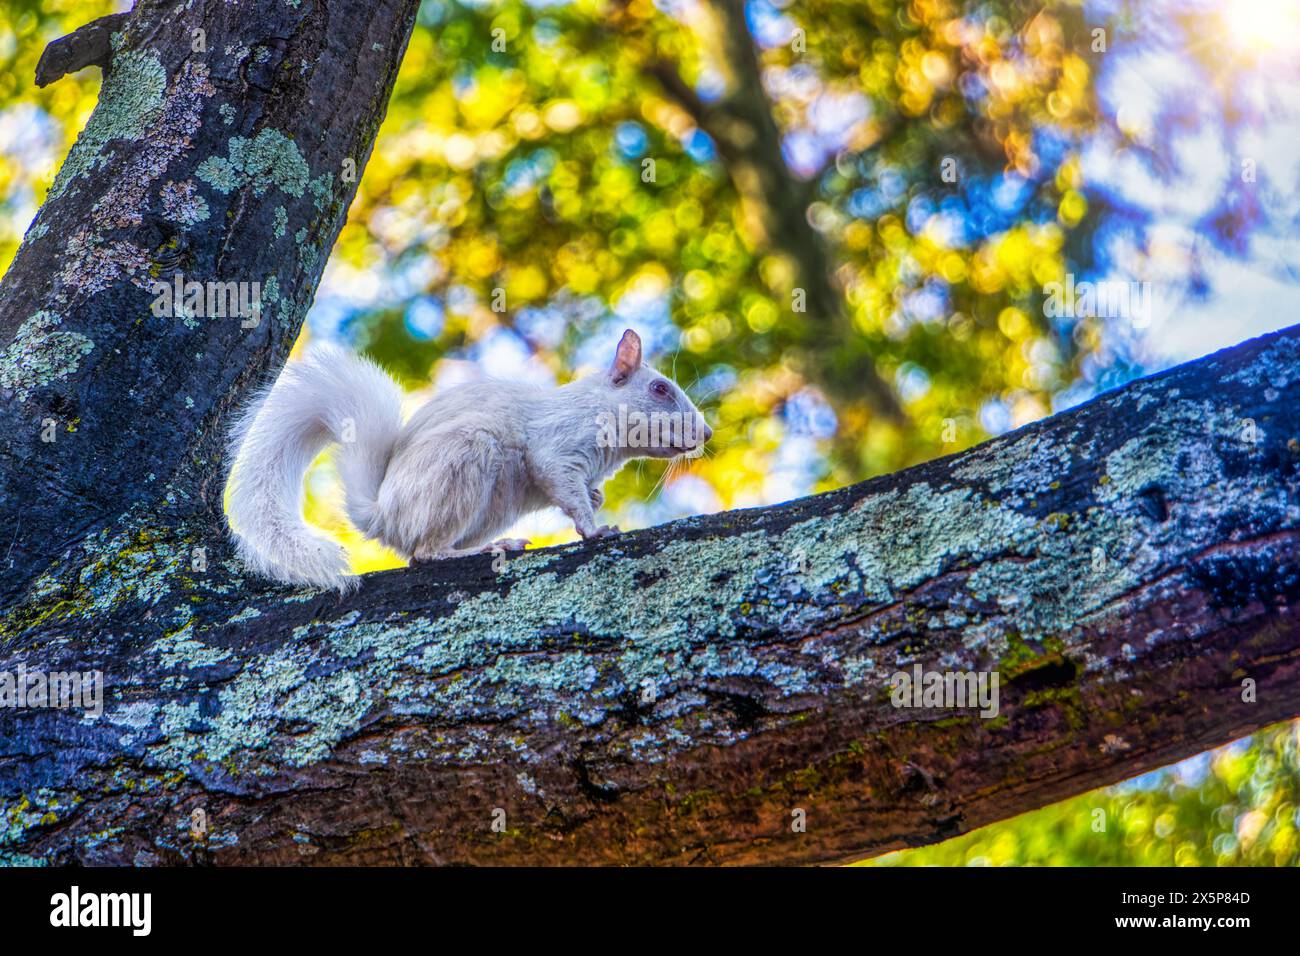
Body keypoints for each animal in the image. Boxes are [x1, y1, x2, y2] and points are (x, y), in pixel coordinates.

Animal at [224, 329, 711, 591]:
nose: (705, 434)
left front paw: (597, 497)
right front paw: (594, 527)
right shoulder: (556, 445)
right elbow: (560, 482)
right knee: (427, 553)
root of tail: (383, 515)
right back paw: (492, 548)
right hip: (465, 459)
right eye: (660, 389)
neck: (596, 410)